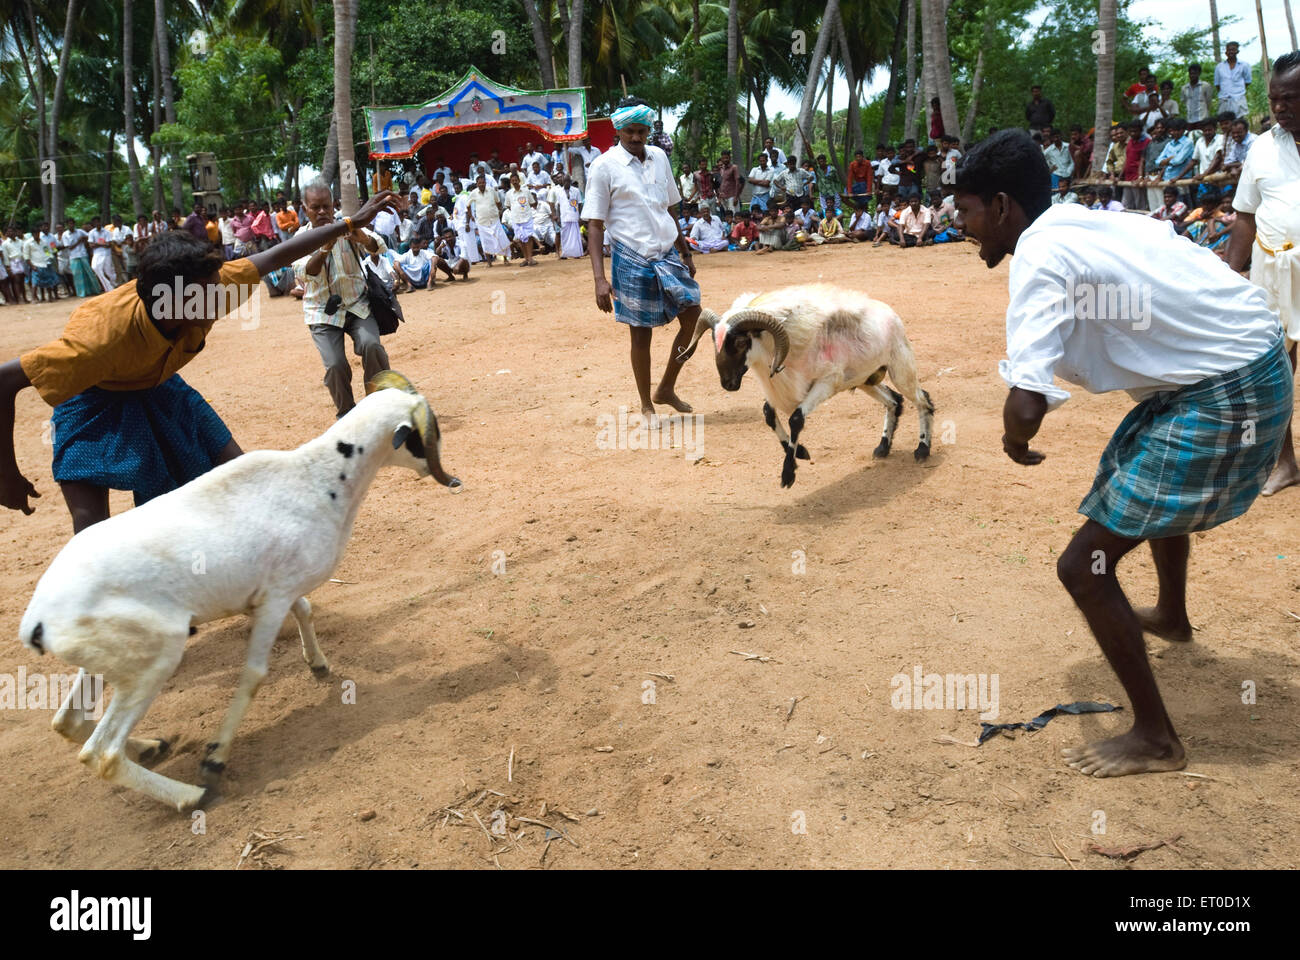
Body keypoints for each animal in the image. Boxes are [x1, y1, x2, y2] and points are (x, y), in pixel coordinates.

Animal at [17, 371, 460, 813]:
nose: (453, 479)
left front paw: (318, 663)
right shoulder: (274, 599)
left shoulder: (266, 593)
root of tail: (37, 620)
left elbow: (306, 609)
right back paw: (189, 794)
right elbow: (254, 673)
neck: (318, 478)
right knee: (101, 755)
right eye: (429, 431)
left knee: (68, 721)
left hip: (109, 658)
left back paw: (148, 747)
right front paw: (215, 758)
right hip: (154, 655)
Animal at [679, 283, 934, 487]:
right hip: (864, 379)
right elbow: (768, 414)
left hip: (900, 367)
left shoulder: (826, 383)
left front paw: (788, 473)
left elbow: (796, 419)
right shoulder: (779, 386)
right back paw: (883, 447)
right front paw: (800, 452)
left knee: (923, 400)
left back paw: (922, 449)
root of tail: (891, 313)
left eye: (742, 342)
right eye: (714, 341)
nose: (728, 384)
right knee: (894, 401)